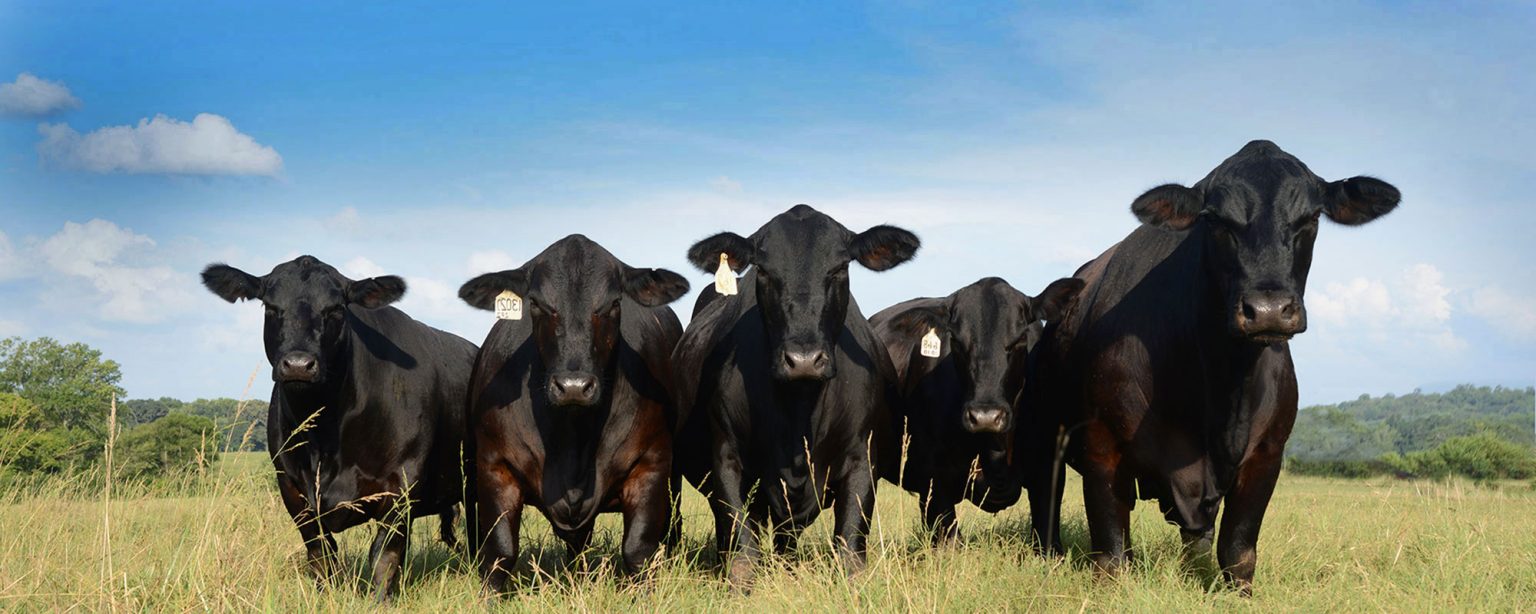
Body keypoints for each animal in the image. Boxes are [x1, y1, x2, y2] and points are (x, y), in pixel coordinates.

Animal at [200, 255, 477, 601]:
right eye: (270, 307)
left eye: (335, 309)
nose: (298, 365)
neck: (326, 436)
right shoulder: (290, 484)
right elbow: (320, 552)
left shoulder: (403, 479)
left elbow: (385, 554)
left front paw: (380, 600)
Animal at [455, 235, 689, 594]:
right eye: (536, 303)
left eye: (613, 302)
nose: (574, 386)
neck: (572, 440)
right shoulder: (494, 465)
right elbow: (500, 552)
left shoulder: (651, 463)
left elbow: (639, 550)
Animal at [672, 204, 919, 589]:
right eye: (764, 270)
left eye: (839, 268)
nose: (803, 359)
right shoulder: (726, 456)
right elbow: (742, 550)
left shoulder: (862, 457)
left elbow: (850, 548)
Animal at [1022, 140, 1399, 594]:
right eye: (1216, 220)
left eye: (1310, 218)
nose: (1268, 310)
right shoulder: (1102, 450)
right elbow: (1111, 557)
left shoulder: (1267, 455)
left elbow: (1238, 551)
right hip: (1046, 440)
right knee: (1048, 501)